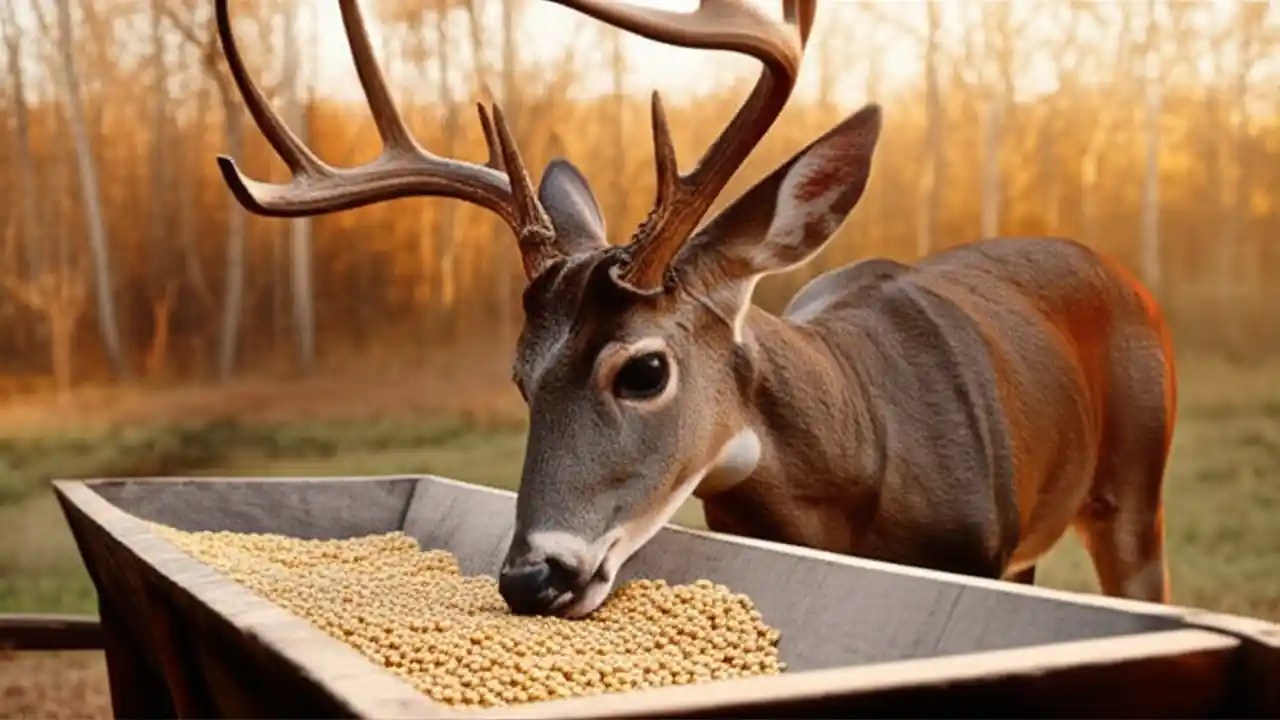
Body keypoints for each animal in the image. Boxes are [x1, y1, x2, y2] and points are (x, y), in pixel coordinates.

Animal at [214, 0, 1176, 619]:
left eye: (643, 369)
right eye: (520, 379)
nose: (530, 581)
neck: (862, 470)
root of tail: (1114, 266)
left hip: (1136, 488)